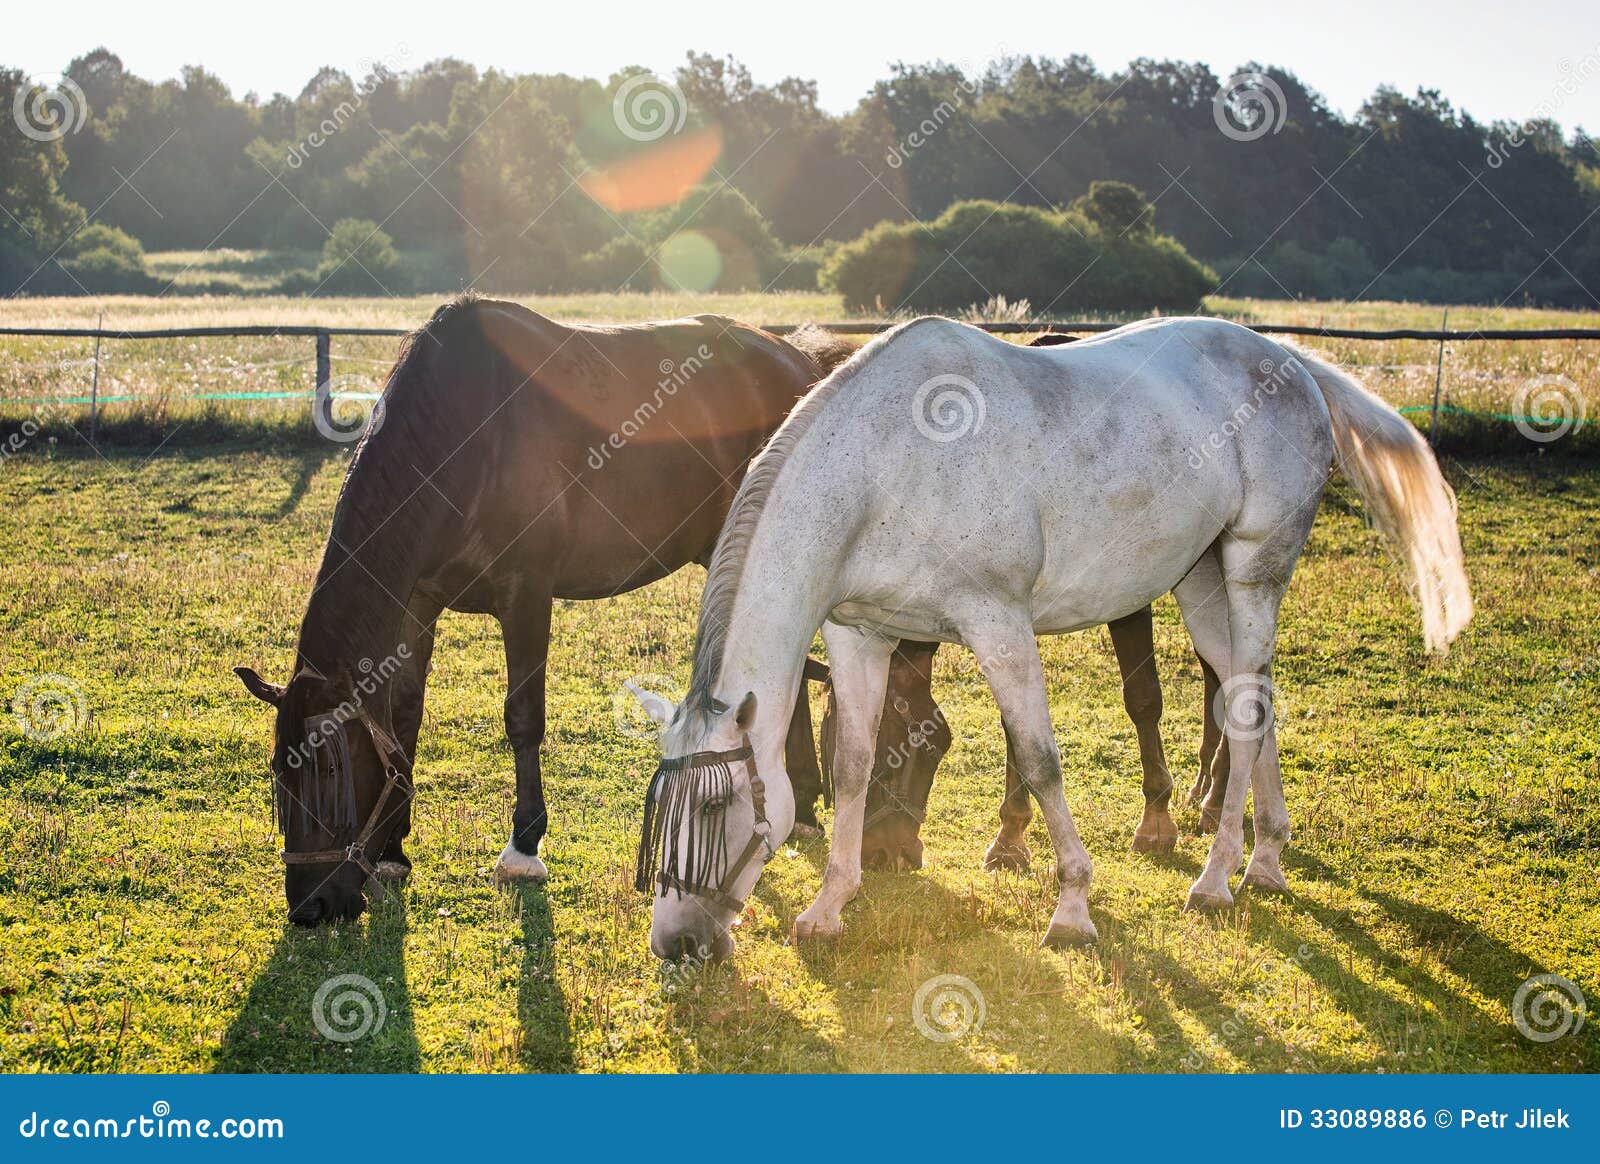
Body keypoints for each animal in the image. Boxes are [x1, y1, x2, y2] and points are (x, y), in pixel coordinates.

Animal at [234, 295, 866, 924]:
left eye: (332, 768)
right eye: (278, 773)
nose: (310, 906)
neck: (463, 441)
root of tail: (799, 361)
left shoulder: (527, 599)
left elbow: (522, 718)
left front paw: (523, 846)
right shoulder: (418, 605)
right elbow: (405, 717)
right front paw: (393, 849)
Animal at [631, 315, 1471, 960]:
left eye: (715, 806)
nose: (677, 945)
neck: (889, 464)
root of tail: (1292, 363)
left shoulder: (997, 622)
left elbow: (1039, 762)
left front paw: (1071, 911)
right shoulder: (858, 636)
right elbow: (854, 766)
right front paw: (828, 908)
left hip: (1252, 574)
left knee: (1245, 707)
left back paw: (1215, 878)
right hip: (1202, 587)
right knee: (1250, 697)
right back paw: (1266, 860)